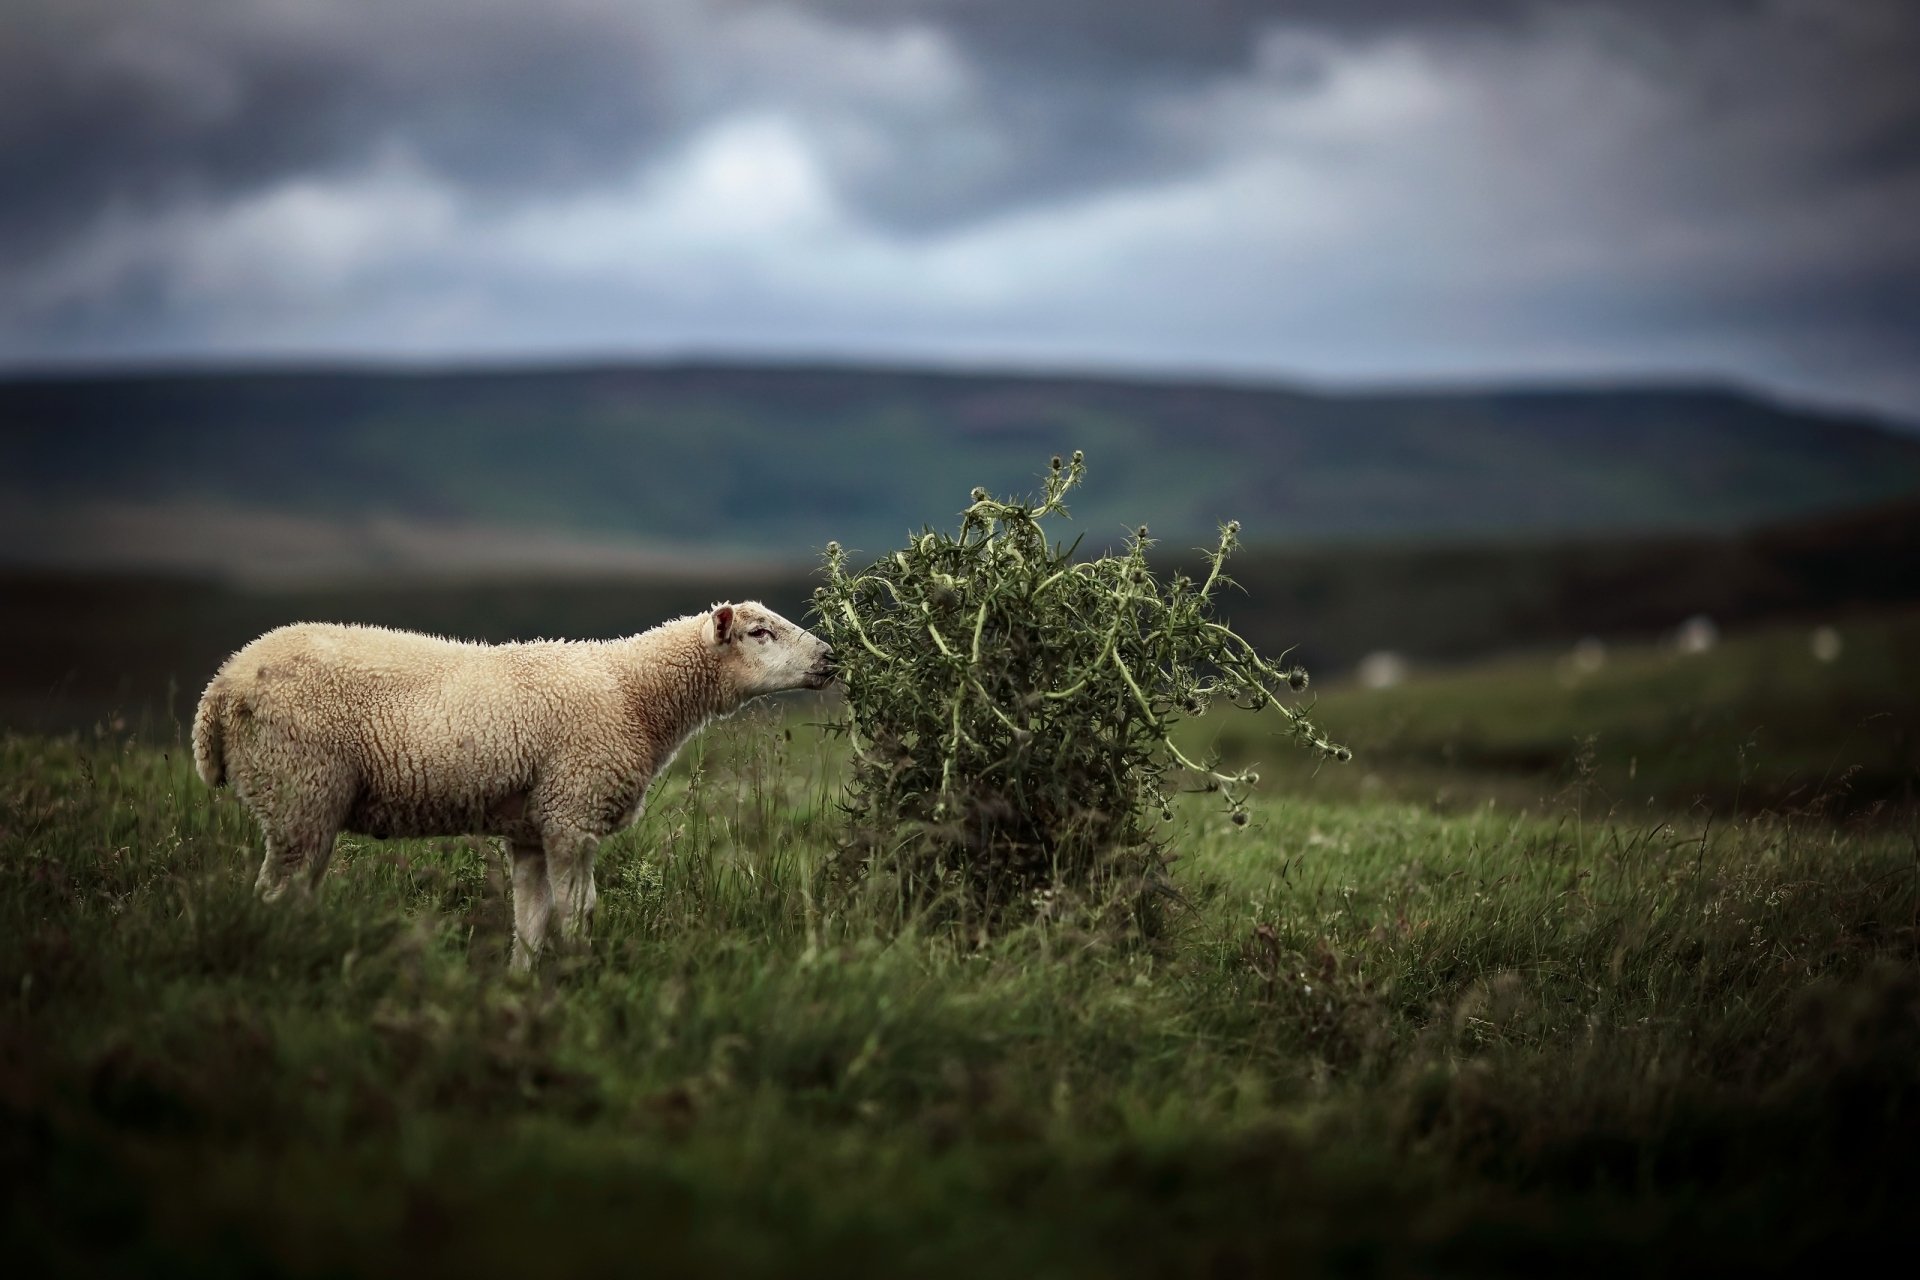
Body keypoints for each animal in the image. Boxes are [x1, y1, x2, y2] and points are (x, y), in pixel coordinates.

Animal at [191, 602, 835, 969]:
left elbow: (531, 922)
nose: (831, 657)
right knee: (273, 895)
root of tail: (219, 689)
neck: (636, 693)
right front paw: (581, 981)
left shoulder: (532, 827)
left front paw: (522, 987)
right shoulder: (574, 809)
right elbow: (579, 913)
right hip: (300, 786)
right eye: (759, 632)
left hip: (302, 801)